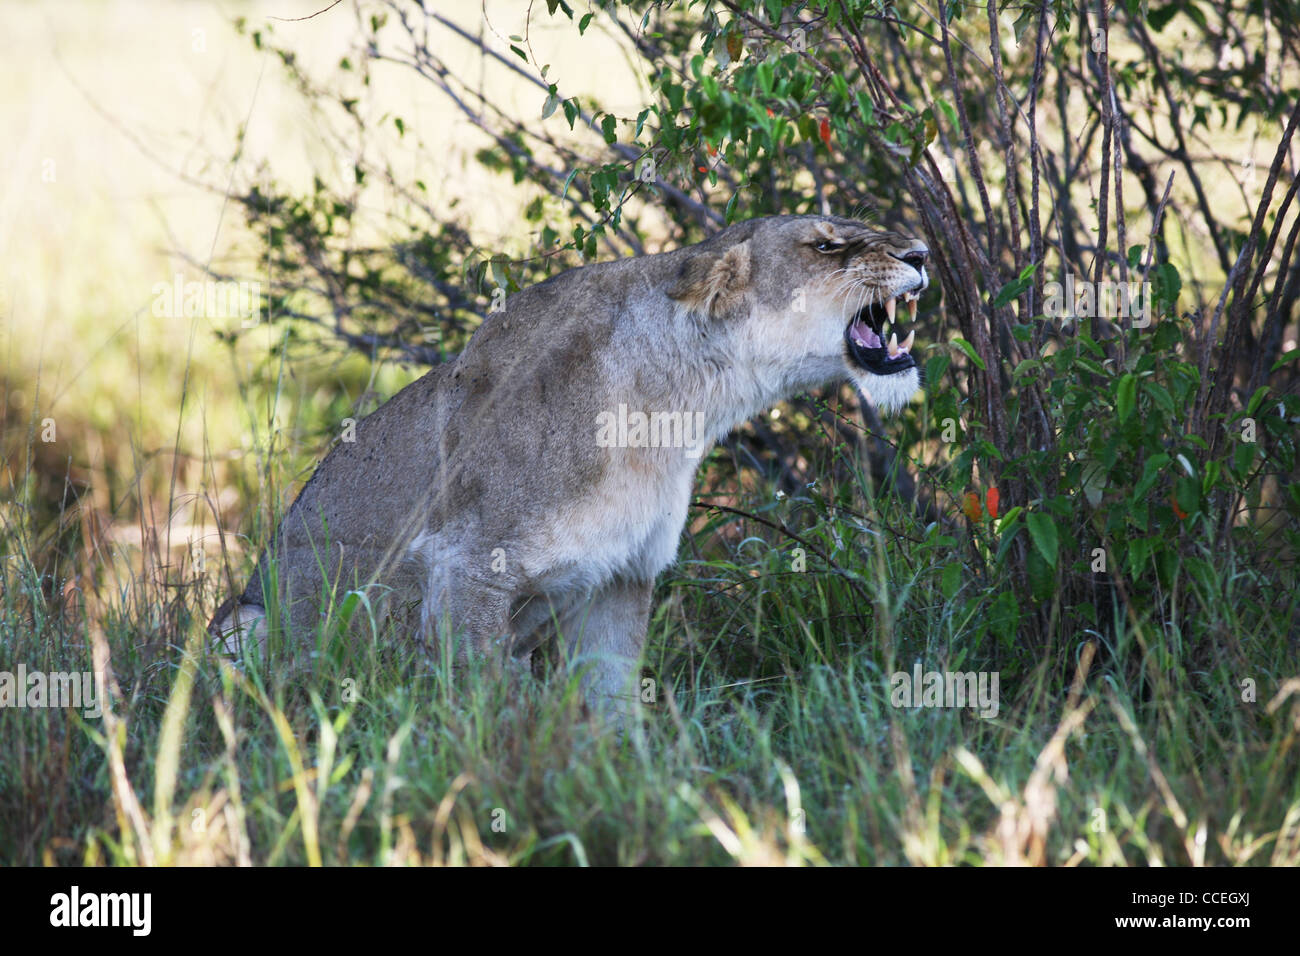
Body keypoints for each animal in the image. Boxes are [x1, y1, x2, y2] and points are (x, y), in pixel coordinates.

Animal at [210, 214, 930, 719]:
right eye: (827, 246)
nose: (922, 254)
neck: (682, 403)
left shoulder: (623, 575)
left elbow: (614, 705)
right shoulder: (466, 564)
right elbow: (486, 707)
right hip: (243, 622)